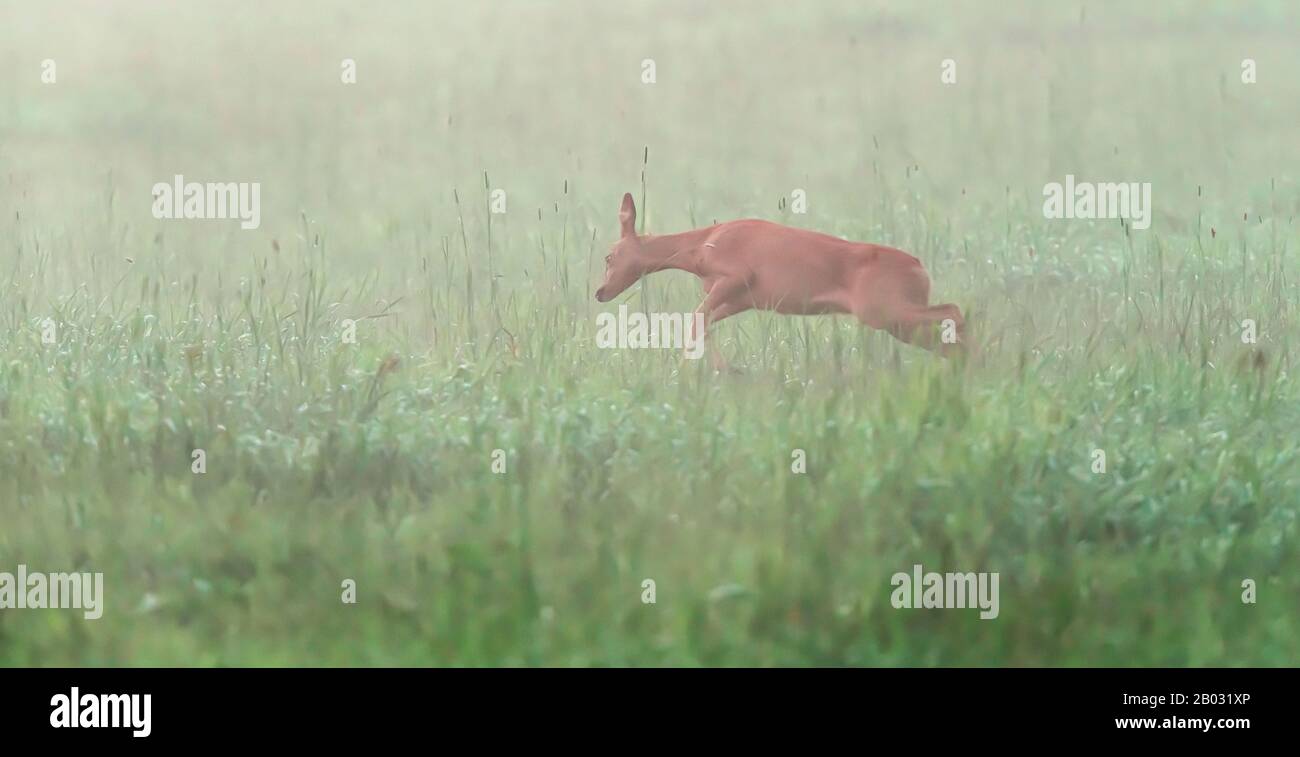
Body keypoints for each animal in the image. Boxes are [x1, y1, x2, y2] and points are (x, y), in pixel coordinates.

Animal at [594, 193, 965, 370]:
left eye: (608, 257)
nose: (600, 292)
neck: (700, 247)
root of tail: (919, 267)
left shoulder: (737, 274)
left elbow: (696, 318)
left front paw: (723, 370)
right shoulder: (741, 298)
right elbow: (703, 323)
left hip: (884, 309)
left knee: (952, 312)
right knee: (947, 323)